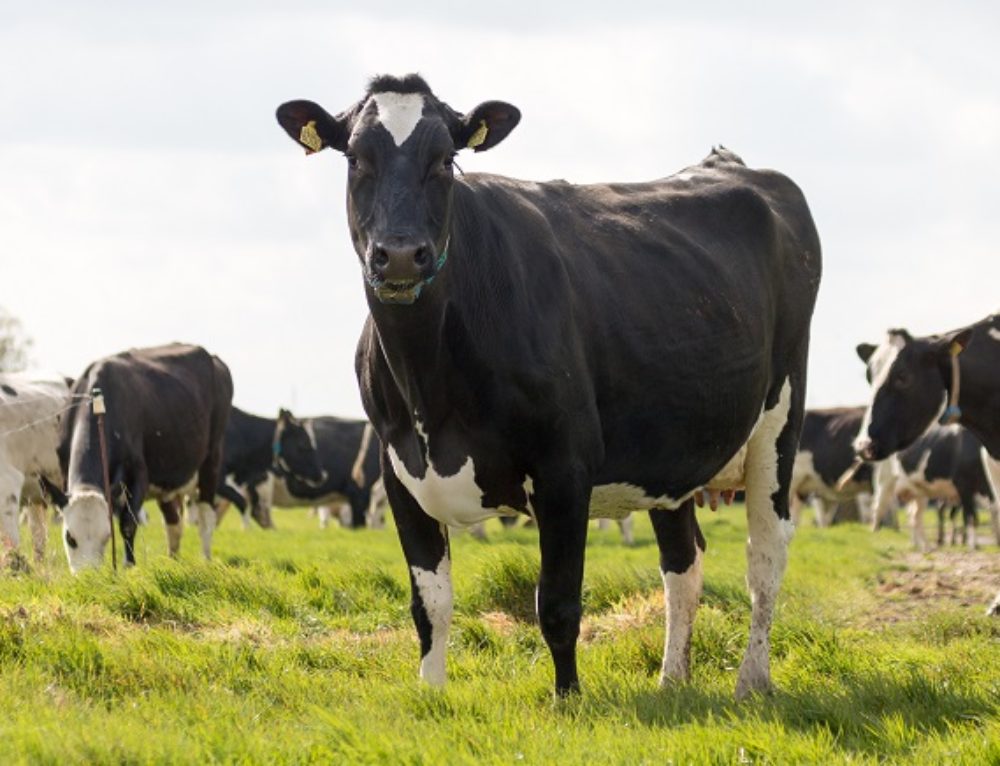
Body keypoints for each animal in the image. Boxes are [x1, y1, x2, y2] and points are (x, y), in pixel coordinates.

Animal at [54, 344, 233, 572]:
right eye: (70, 538)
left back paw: (206, 559)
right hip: (167, 479)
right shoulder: (62, 467)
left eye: (106, 537)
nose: (88, 576)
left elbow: (128, 523)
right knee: (173, 523)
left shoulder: (138, 472)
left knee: (206, 515)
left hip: (211, 460)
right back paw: (172, 560)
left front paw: (129, 566)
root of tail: (213, 358)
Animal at [276, 74, 821, 697]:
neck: (428, 390)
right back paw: (672, 680)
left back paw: (752, 679)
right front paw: (431, 693)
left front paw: (568, 699)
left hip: (780, 419)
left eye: (443, 160)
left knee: (765, 555)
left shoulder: (565, 467)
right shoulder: (399, 474)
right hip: (672, 449)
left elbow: (558, 604)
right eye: (356, 159)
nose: (400, 256)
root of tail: (727, 163)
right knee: (684, 563)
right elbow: (429, 605)